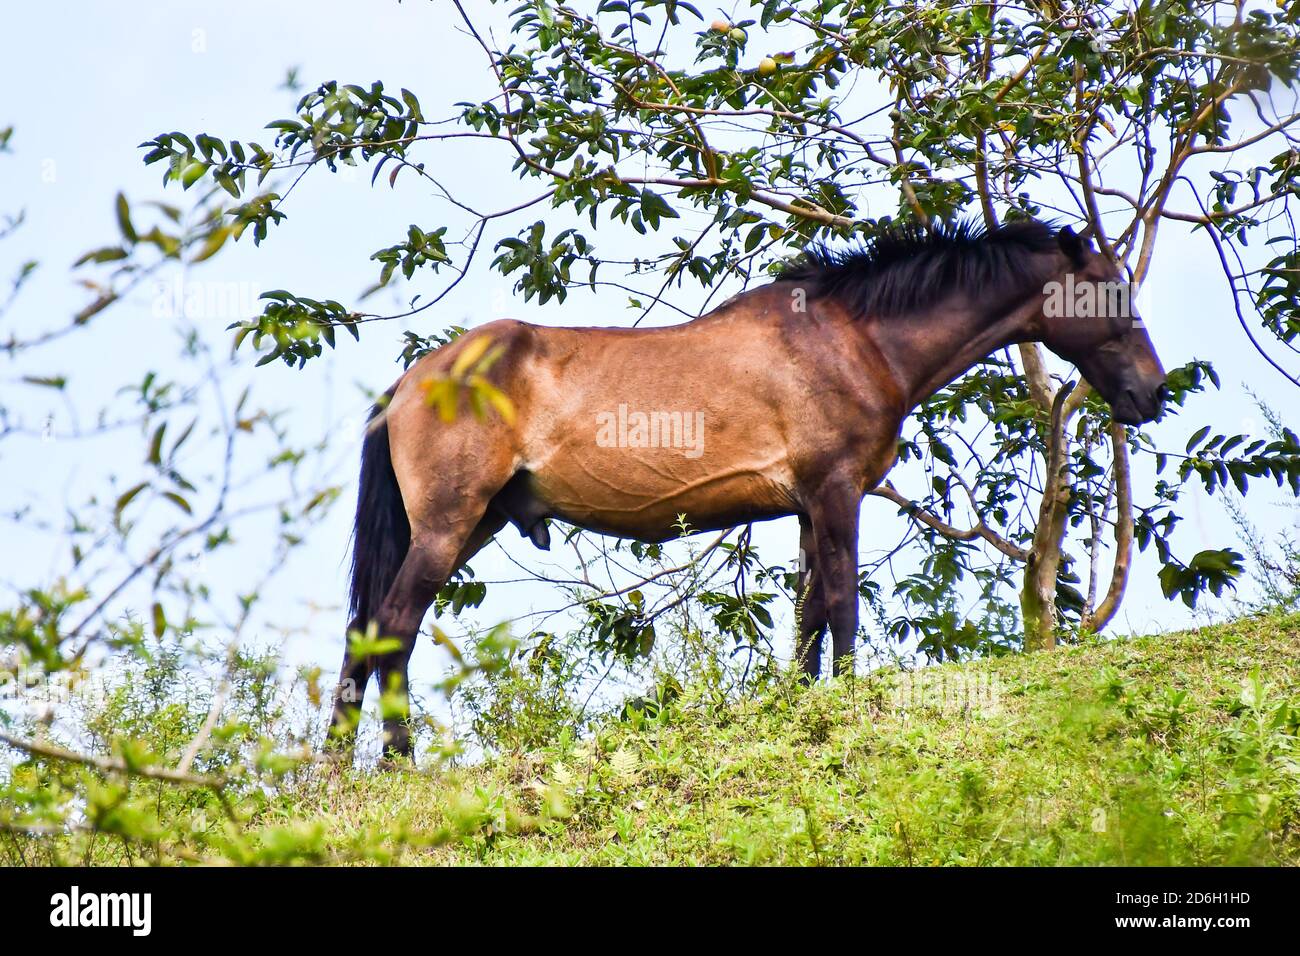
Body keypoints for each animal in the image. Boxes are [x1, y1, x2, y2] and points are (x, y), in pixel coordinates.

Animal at [328, 219, 1168, 759]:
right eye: (1112, 295)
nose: (1153, 394)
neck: (852, 338)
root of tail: (411, 380)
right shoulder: (834, 492)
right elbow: (841, 606)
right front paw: (843, 708)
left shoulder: (805, 507)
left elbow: (808, 619)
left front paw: (799, 709)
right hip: (448, 525)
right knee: (393, 626)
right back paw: (400, 763)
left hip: (470, 525)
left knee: (368, 632)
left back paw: (338, 765)